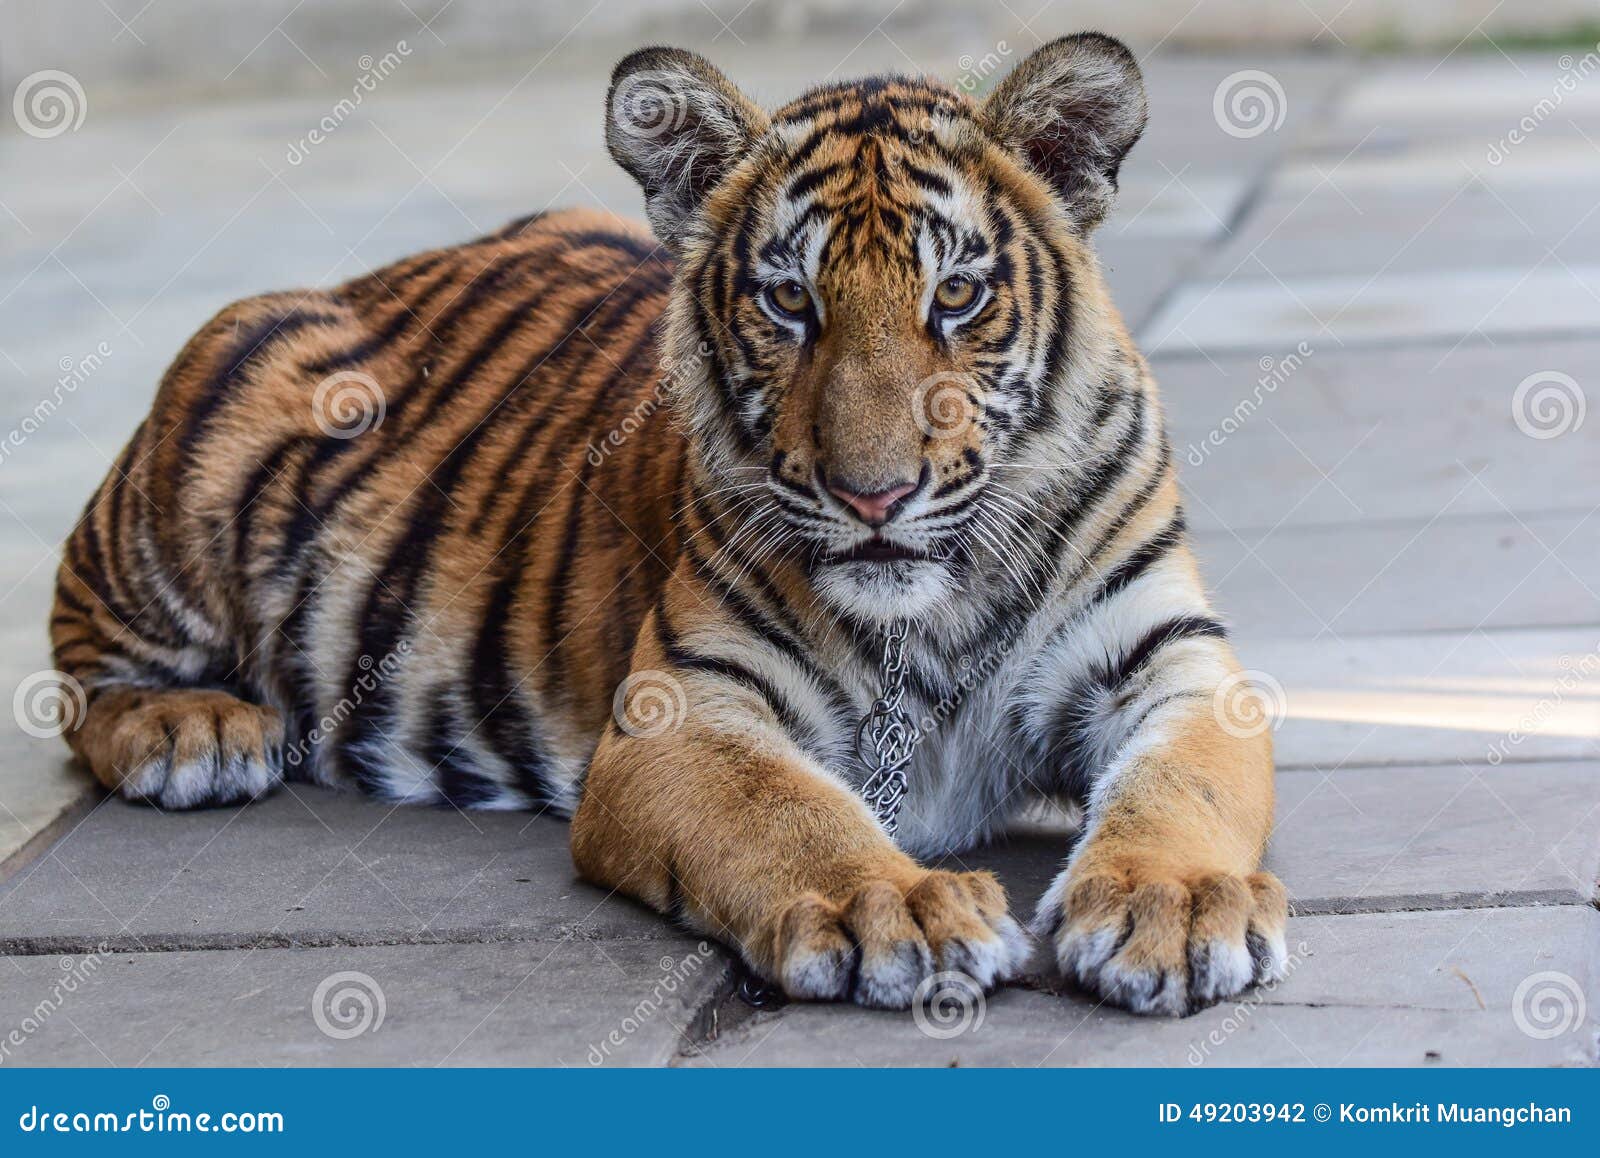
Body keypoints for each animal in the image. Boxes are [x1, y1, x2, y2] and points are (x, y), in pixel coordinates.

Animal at [48, 34, 1288, 1016]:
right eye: (789, 302)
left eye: (957, 297)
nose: (873, 496)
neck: (931, 609)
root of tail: (380, 272)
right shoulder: (683, 708)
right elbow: (792, 816)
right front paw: (901, 909)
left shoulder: (1168, 661)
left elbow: (1183, 784)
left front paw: (1173, 906)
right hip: (221, 390)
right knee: (79, 675)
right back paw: (195, 732)